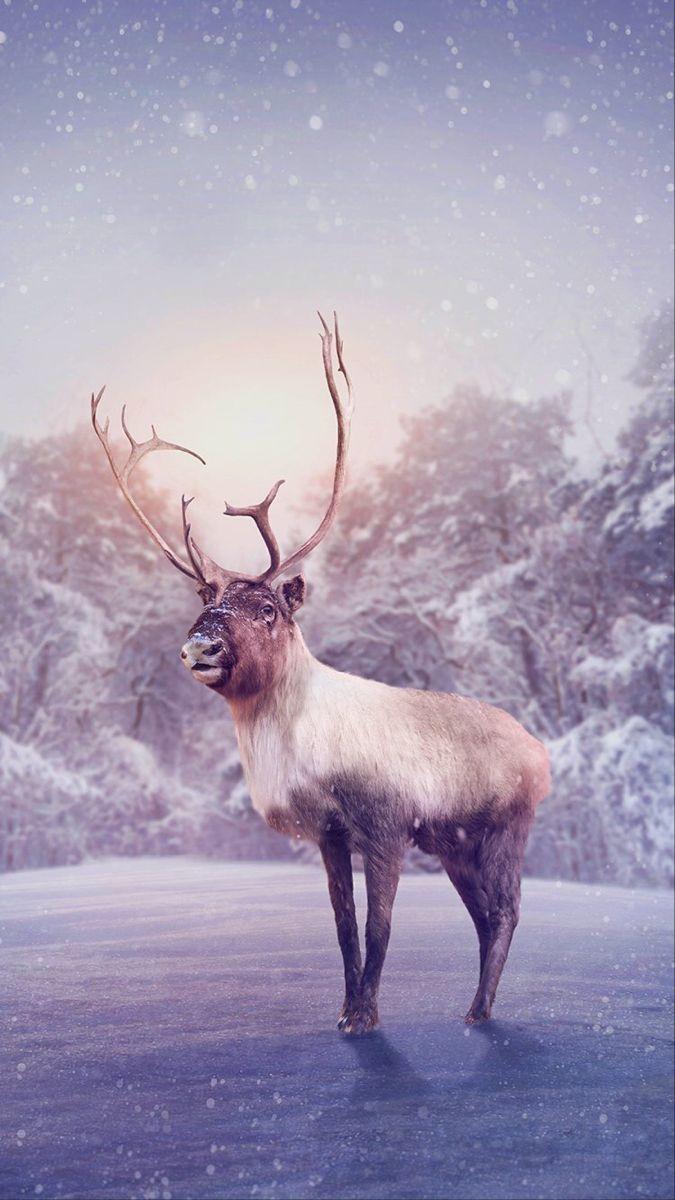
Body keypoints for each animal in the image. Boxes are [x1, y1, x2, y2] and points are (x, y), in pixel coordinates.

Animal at [91, 313, 550, 1035]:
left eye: (268, 608)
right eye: (205, 600)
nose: (199, 647)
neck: (306, 757)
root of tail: (542, 755)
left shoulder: (387, 823)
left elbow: (381, 925)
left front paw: (366, 1016)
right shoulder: (331, 835)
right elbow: (342, 927)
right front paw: (346, 1009)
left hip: (501, 827)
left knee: (504, 911)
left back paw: (478, 1012)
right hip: (452, 842)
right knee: (483, 915)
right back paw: (474, 1008)